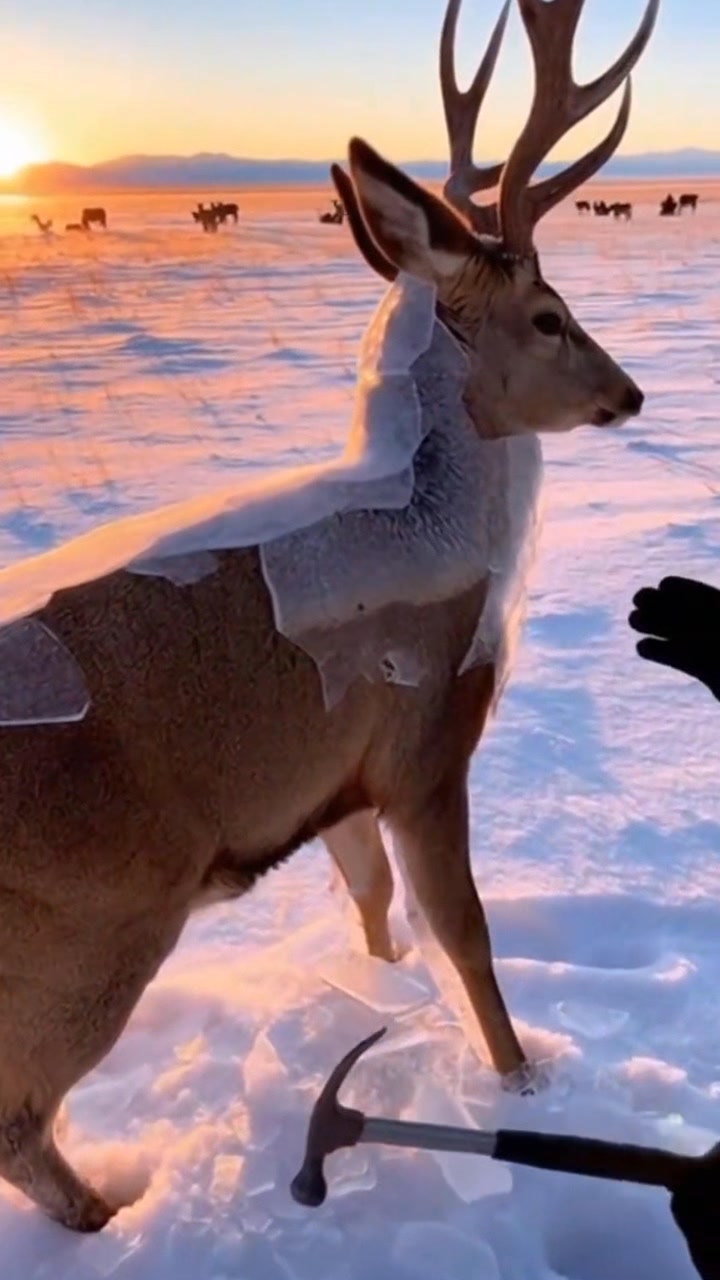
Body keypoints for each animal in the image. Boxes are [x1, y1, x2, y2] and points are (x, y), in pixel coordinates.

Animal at [0, 0, 658, 1234]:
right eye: (550, 316)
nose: (630, 393)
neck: (428, 515)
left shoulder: (333, 784)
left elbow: (373, 904)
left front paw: (378, 994)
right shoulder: (424, 744)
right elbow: (466, 929)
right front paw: (523, 1081)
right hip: (90, 915)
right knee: (19, 1117)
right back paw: (115, 1216)